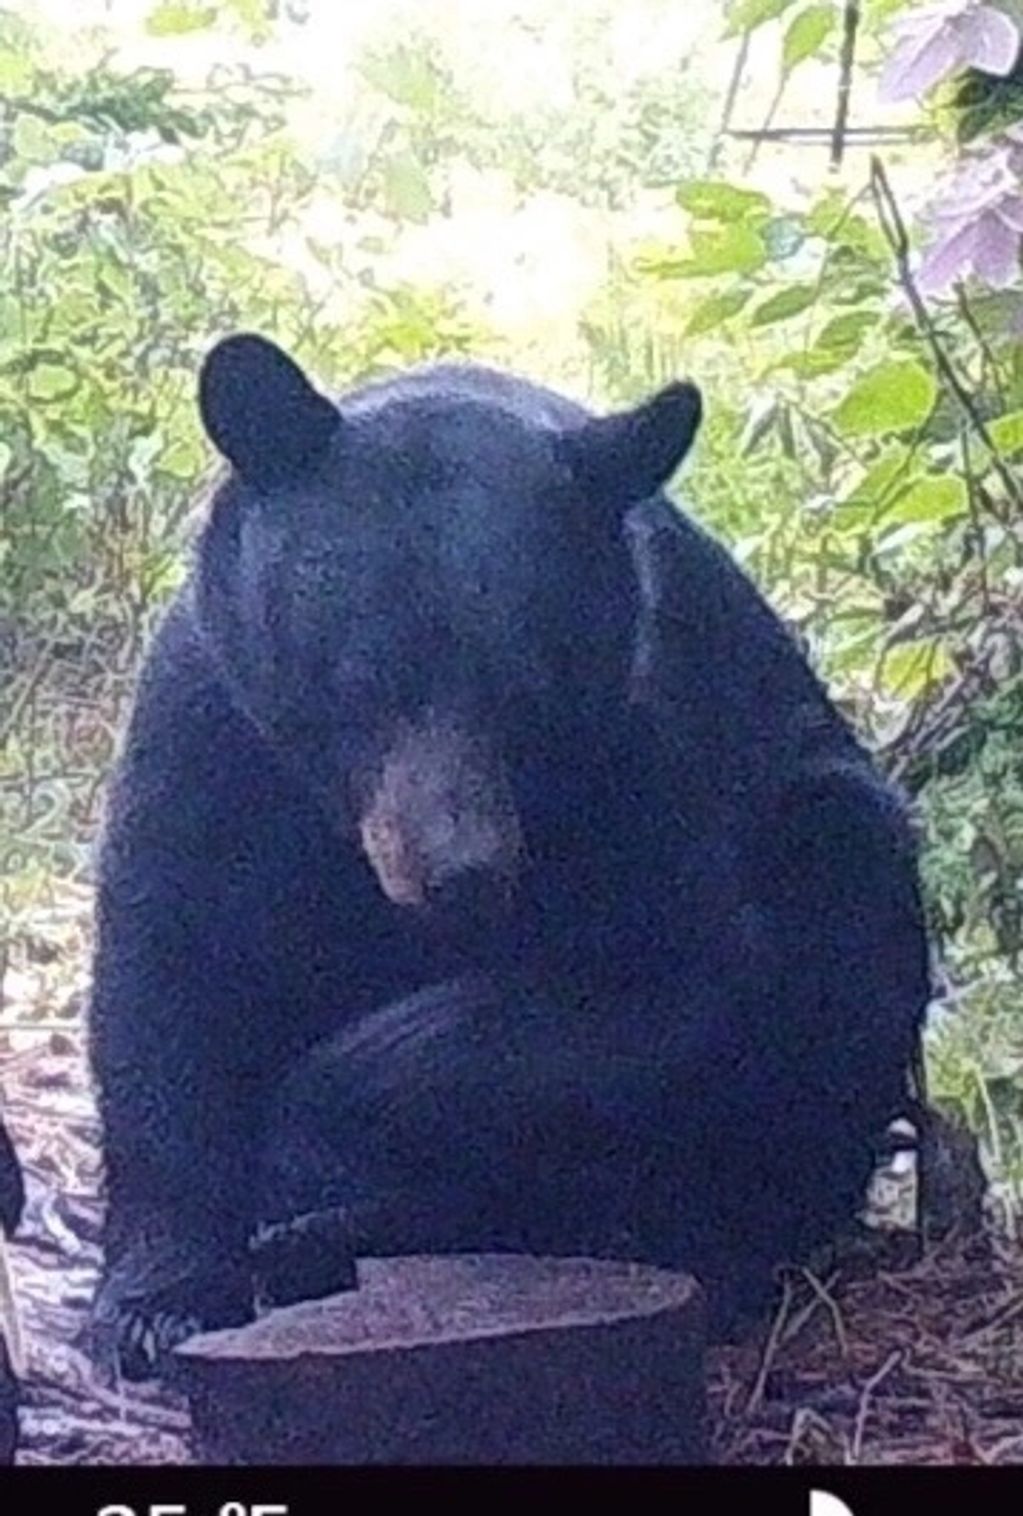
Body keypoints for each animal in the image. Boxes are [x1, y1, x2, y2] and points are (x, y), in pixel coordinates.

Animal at [87, 334, 930, 1380]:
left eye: (527, 693)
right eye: (364, 677)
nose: (460, 874)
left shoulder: (648, 753)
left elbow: (664, 986)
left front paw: (303, 1140)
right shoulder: (215, 729)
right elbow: (170, 975)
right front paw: (160, 1302)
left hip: (829, 827)